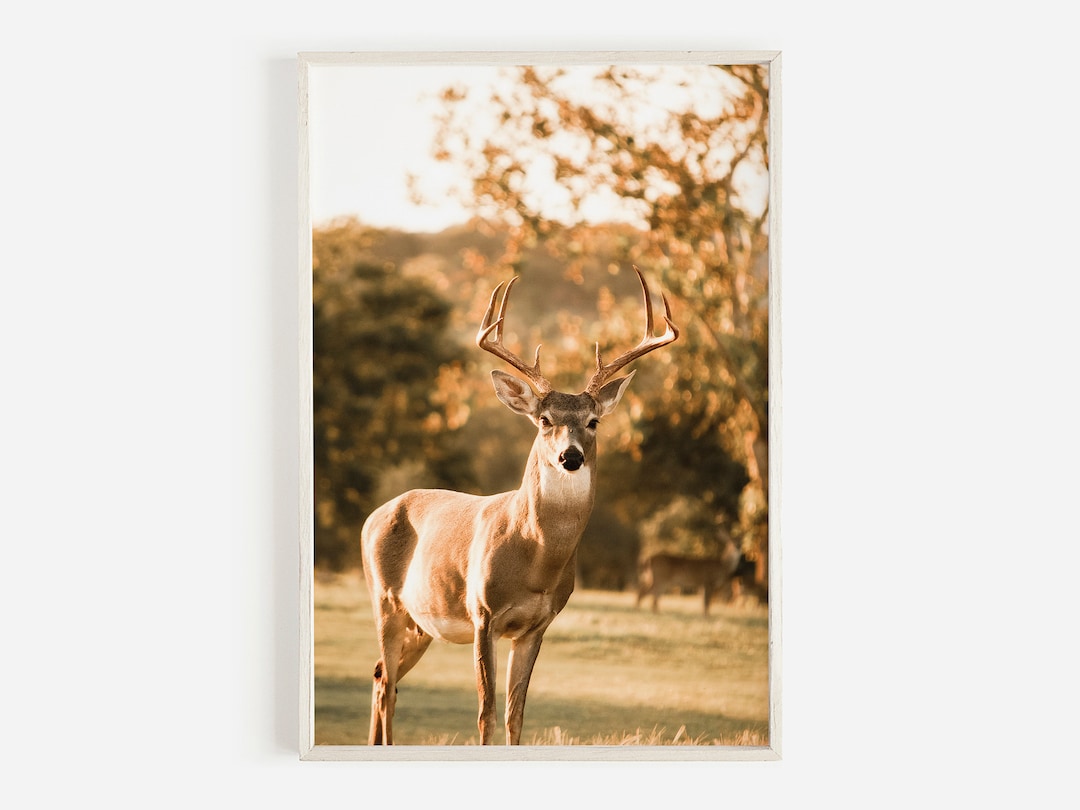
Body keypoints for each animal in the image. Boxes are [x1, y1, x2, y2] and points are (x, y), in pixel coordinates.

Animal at [360, 266, 678, 745]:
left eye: (593, 421)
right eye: (544, 420)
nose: (570, 456)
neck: (535, 559)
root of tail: (373, 516)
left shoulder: (536, 626)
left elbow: (515, 715)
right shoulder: (483, 614)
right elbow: (486, 714)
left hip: (421, 622)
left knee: (383, 676)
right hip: (384, 600)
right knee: (385, 683)